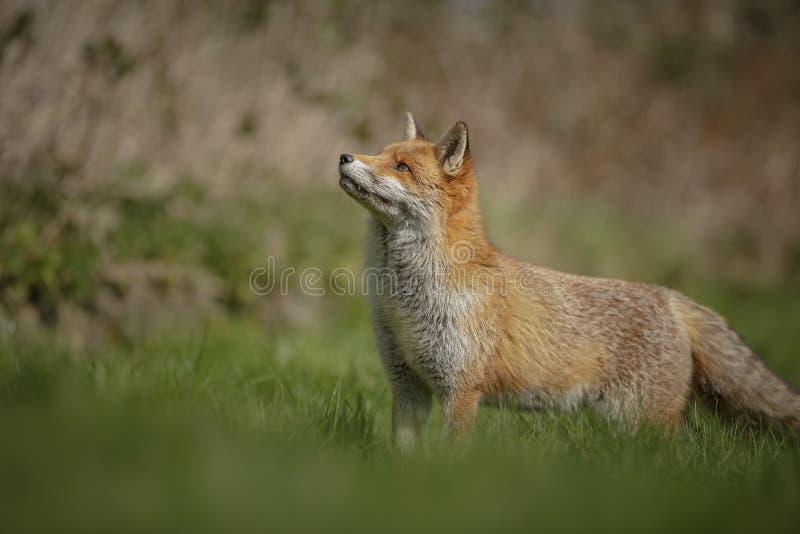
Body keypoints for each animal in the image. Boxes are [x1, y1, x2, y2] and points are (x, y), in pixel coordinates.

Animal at [337, 112, 800, 450]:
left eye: (401, 167)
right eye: (378, 153)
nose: (344, 157)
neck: (404, 303)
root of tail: (669, 297)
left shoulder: (462, 389)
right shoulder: (407, 384)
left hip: (641, 421)